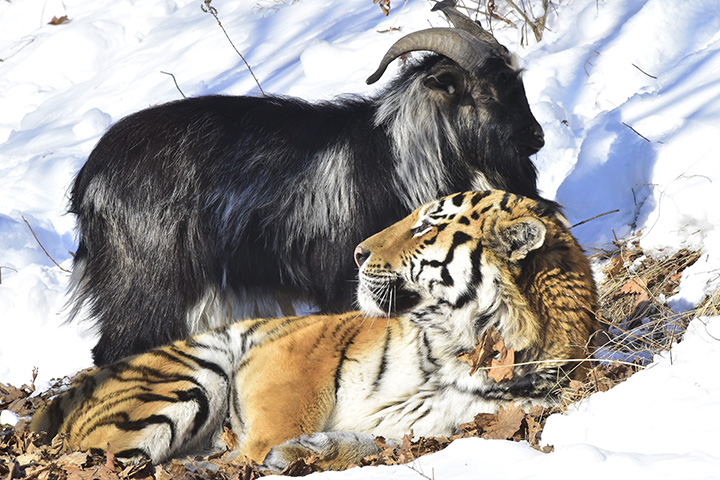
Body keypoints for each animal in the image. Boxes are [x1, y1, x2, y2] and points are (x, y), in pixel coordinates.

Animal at [30, 190, 598, 471]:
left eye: (425, 226)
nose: (358, 252)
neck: (460, 345)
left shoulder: (457, 422)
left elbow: (371, 444)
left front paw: (308, 452)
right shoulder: (299, 351)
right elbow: (277, 422)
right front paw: (261, 457)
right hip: (186, 376)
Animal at [69, 3, 545, 365]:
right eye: (488, 90)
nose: (537, 137)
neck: (399, 157)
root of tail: (88, 182)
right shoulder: (349, 278)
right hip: (146, 284)